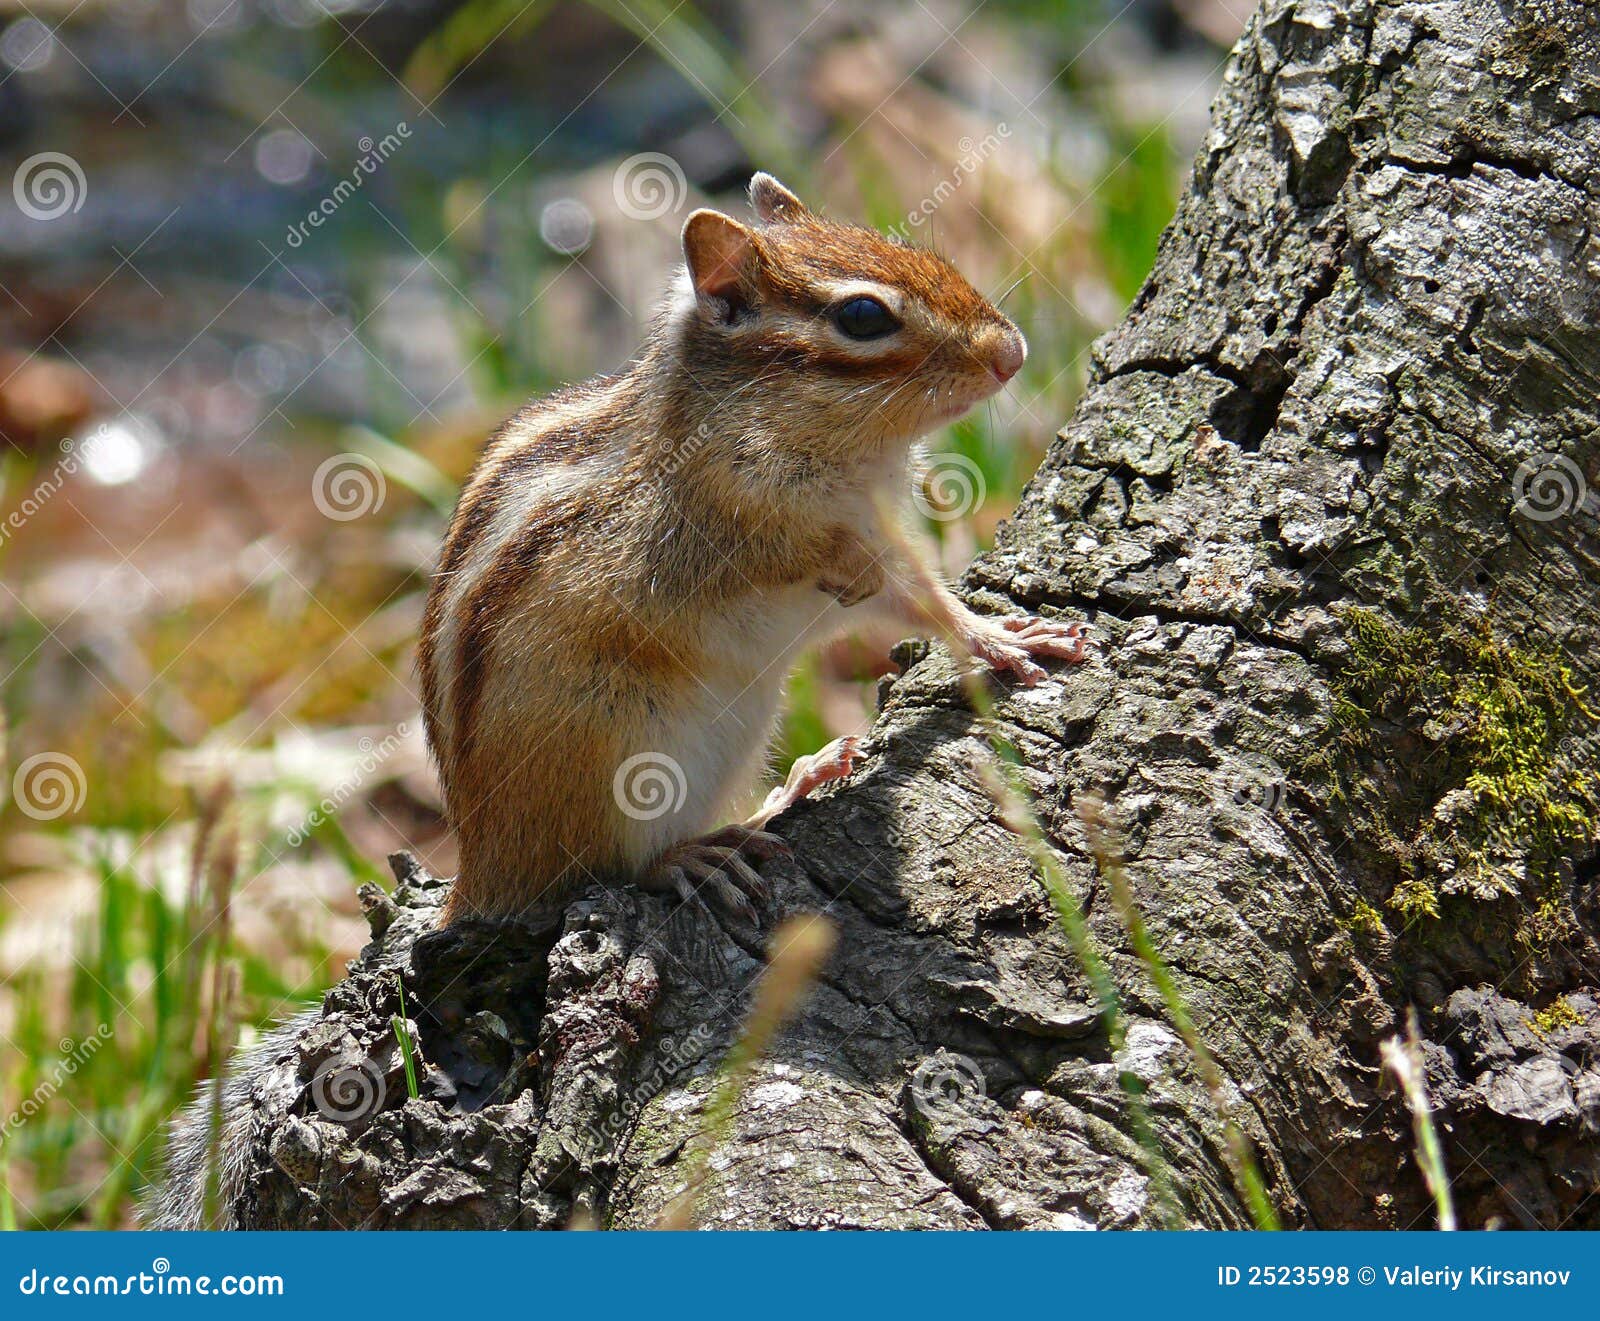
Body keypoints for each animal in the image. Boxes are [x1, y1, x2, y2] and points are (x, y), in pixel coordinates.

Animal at [141, 172, 1087, 1228]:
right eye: (862, 317)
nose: (1011, 353)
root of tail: (482, 868)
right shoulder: (732, 534)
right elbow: (830, 571)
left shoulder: (885, 529)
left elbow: (928, 601)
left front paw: (1000, 638)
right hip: (616, 754)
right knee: (597, 868)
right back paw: (694, 856)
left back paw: (795, 783)